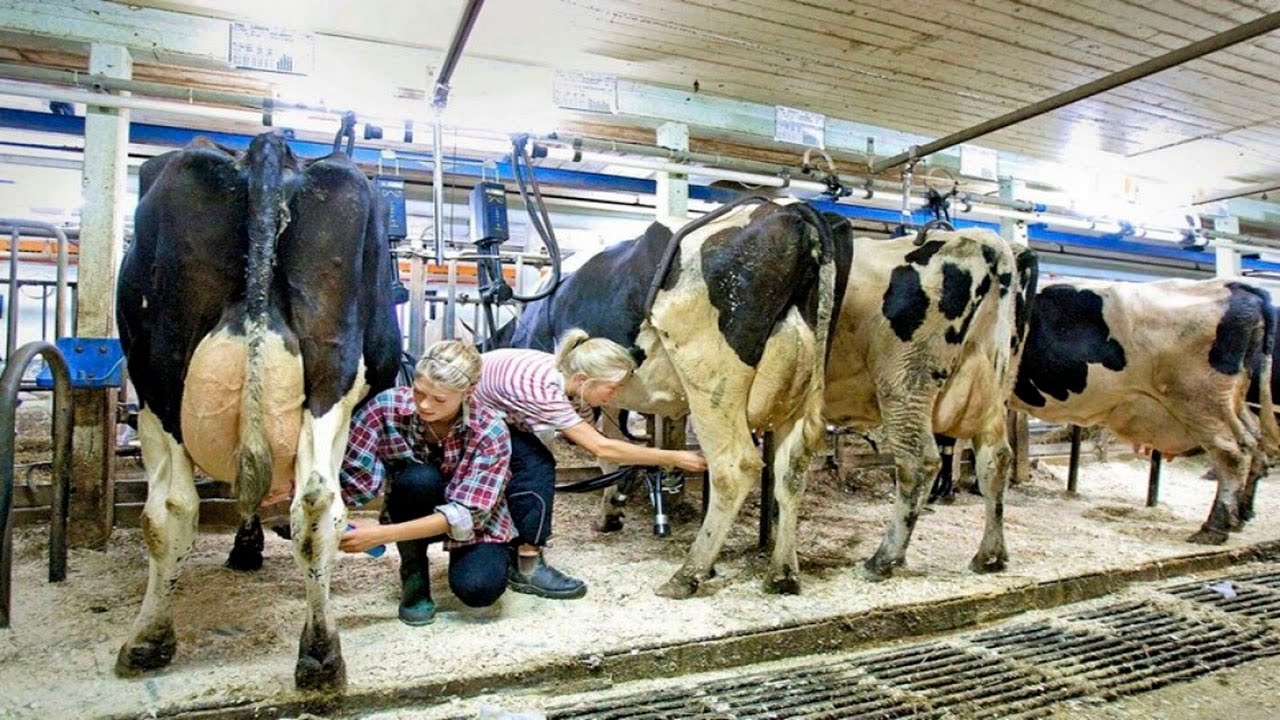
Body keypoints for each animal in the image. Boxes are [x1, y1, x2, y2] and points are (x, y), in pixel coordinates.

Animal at [114, 131, 402, 691]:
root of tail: (267, 148)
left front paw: (245, 547)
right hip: (326, 371)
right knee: (312, 503)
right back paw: (317, 655)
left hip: (158, 385)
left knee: (172, 509)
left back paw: (150, 639)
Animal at [502, 196, 846, 598]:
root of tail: (787, 211)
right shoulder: (610, 395)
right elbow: (611, 449)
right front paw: (611, 509)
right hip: (800, 390)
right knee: (791, 470)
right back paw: (783, 574)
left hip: (712, 383)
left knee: (735, 468)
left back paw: (690, 572)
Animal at [823, 227, 1035, 578]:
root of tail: (984, 240)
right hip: (994, 390)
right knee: (996, 460)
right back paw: (990, 556)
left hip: (905, 383)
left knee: (919, 461)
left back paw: (884, 559)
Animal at [1013, 279, 1280, 544]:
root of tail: (1234, 286)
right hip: (1233, 402)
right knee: (1254, 444)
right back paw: (1240, 516)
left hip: (1200, 403)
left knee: (1231, 454)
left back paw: (1214, 528)